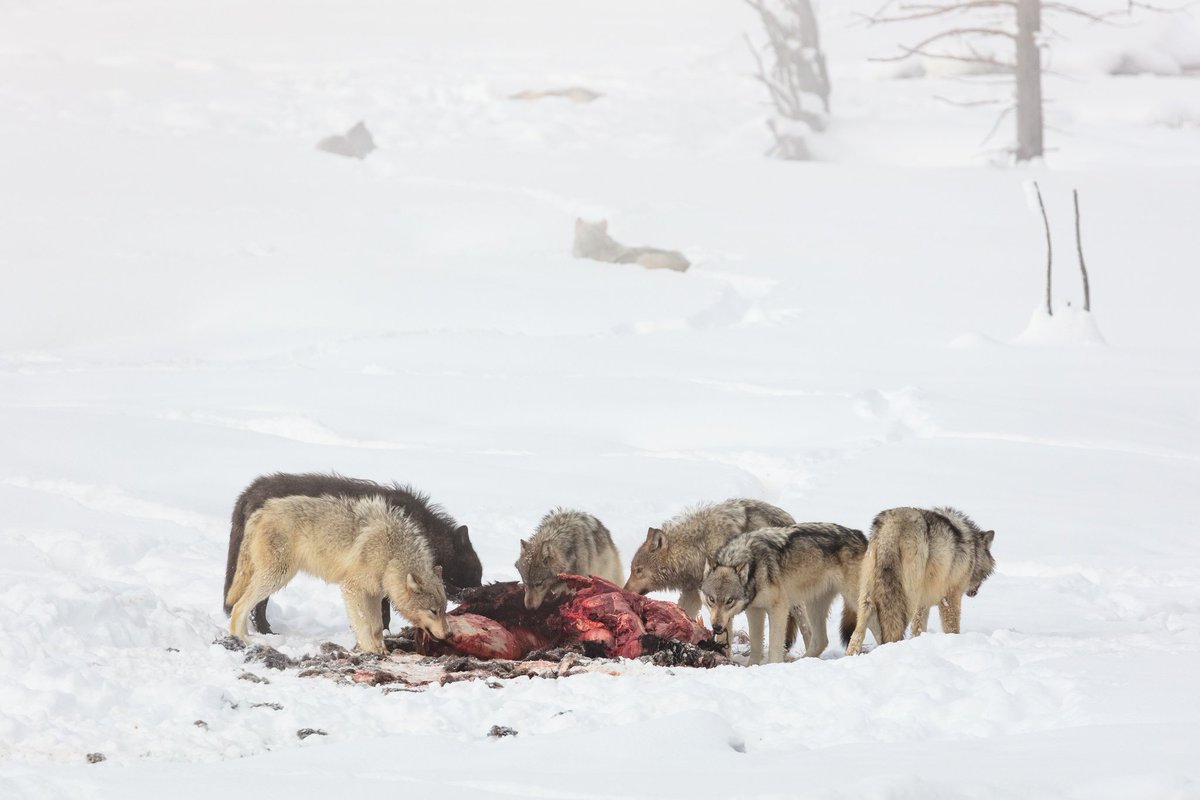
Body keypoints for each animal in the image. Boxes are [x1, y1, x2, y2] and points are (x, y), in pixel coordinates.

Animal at [224, 472, 480, 634]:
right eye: (473, 576)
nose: (476, 593)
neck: (421, 526)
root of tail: (249, 492)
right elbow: (382, 614)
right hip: (278, 569)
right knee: (255, 603)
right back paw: (265, 631)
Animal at [226, 494, 449, 653]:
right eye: (433, 611)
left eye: (444, 610)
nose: (448, 634)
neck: (391, 554)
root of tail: (262, 510)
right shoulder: (352, 588)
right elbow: (363, 624)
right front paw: (370, 650)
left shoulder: (374, 593)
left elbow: (377, 627)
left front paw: (382, 650)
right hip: (277, 577)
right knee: (238, 606)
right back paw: (241, 640)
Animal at [701, 524, 868, 664]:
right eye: (711, 599)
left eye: (729, 601)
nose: (716, 626)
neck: (755, 566)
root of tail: (859, 534)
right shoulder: (755, 610)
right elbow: (756, 645)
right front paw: (751, 666)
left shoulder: (779, 608)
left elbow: (775, 645)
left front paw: (773, 666)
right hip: (813, 605)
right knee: (821, 640)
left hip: (854, 600)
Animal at [845, 506, 996, 656]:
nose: (974, 593)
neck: (973, 550)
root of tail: (892, 526)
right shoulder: (949, 597)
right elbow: (952, 628)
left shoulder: (923, 604)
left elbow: (917, 629)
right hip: (907, 600)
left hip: (866, 600)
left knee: (857, 635)